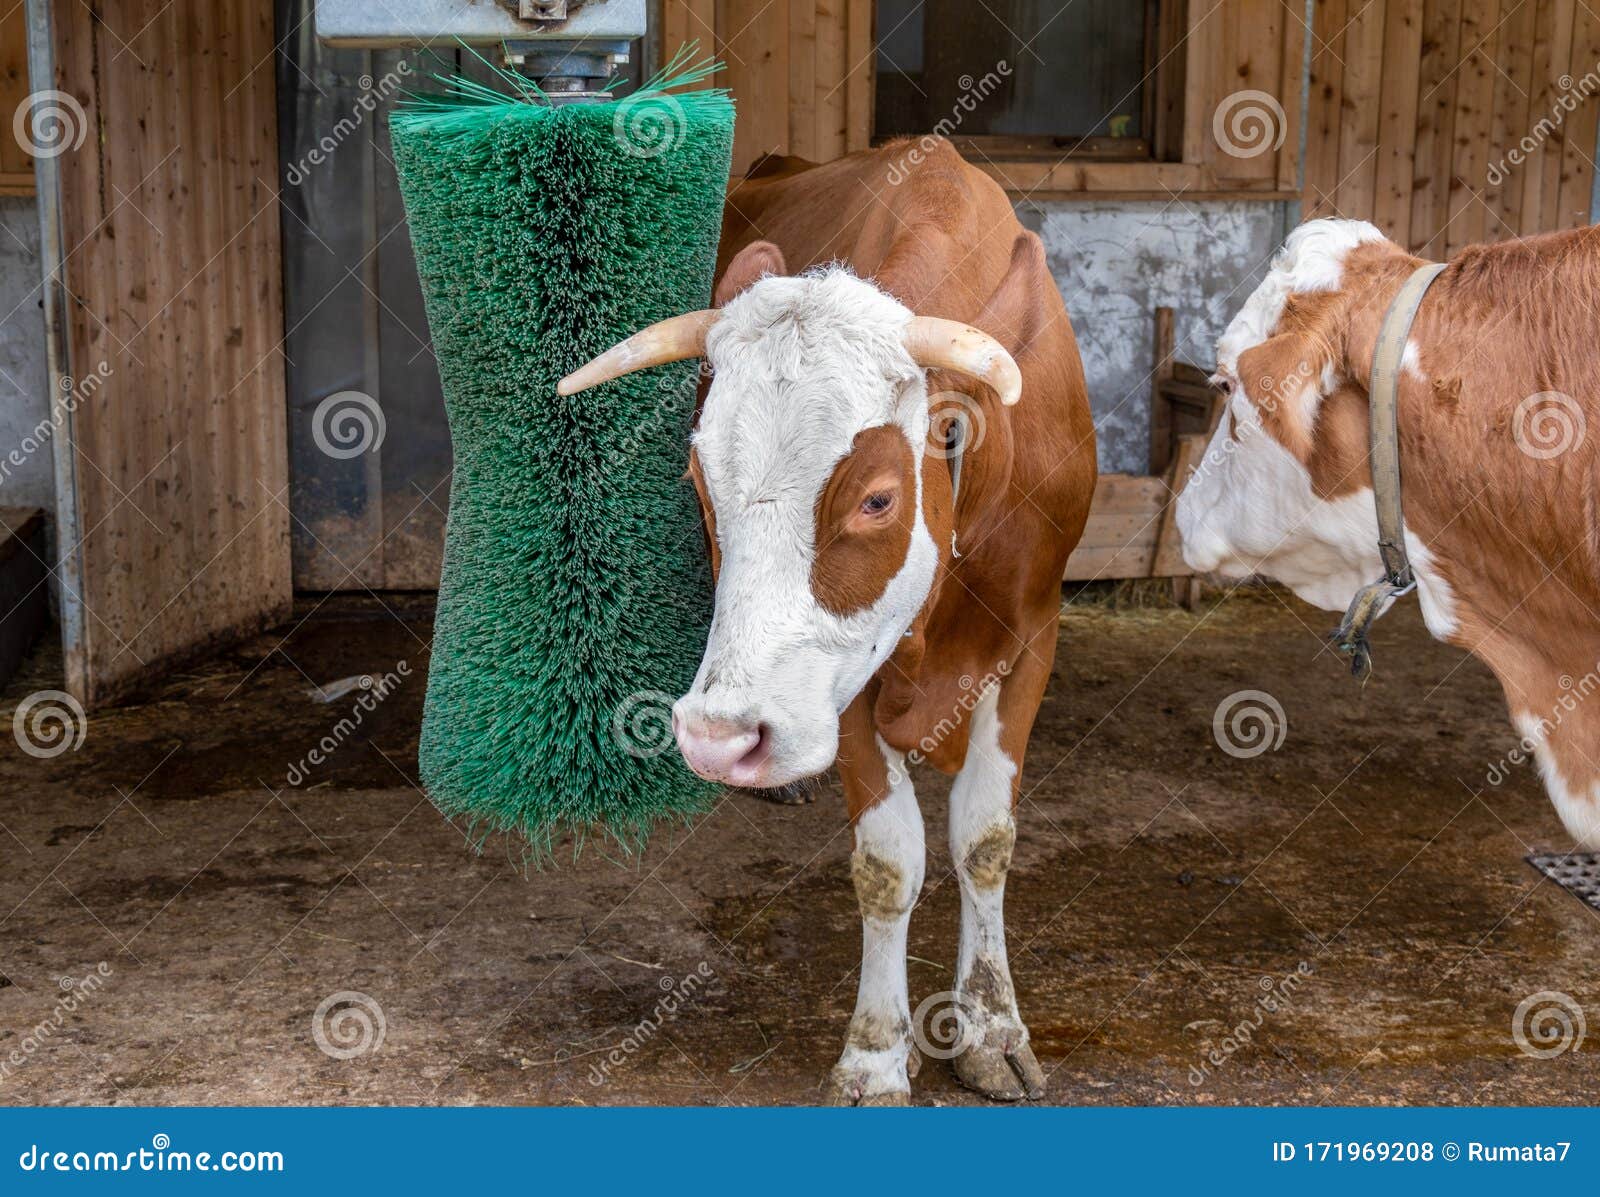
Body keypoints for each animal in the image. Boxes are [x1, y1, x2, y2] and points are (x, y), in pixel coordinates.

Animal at [559, 139, 1097, 1103]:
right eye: (700, 481)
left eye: (878, 497)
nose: (716, 736)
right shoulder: (839, 680)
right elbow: (888, 862)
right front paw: (877, 1051)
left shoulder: (1033, 632)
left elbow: (984, 838)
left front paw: (992, 1024)